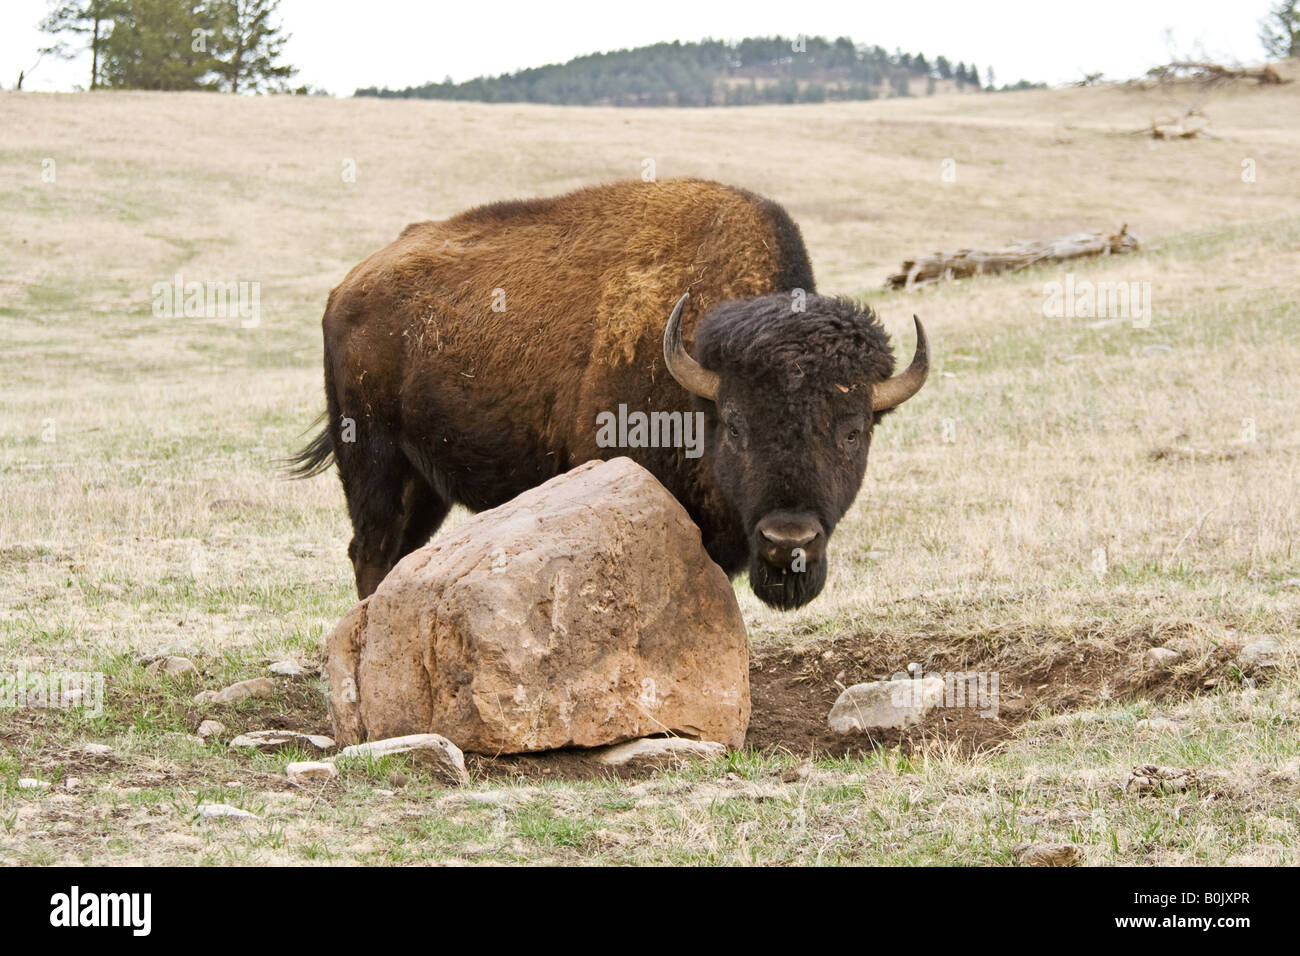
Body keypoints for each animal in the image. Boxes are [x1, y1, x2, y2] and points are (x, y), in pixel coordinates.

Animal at [291, 178, 928, 609]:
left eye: (852, 430)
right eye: (736, 423)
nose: (787, 540)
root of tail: (346, 289)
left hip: (425, 484)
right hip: (370, 459)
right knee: (371, 549)